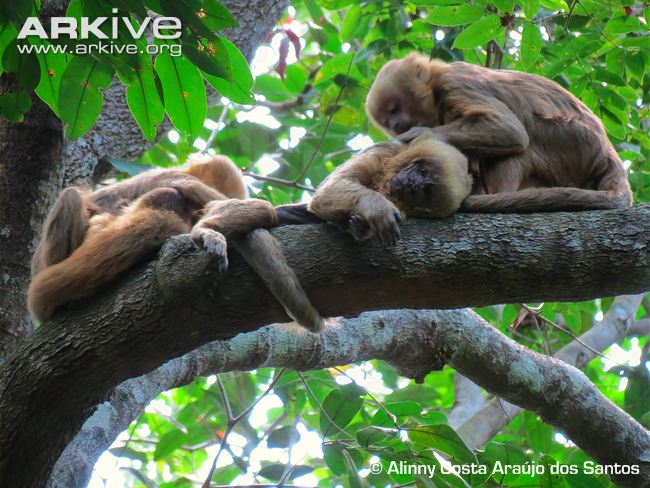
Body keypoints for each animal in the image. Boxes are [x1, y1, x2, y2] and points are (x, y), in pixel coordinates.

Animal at [309, 134, 472, 242]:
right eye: (423, 171)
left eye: (427, 192)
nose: (412, 183)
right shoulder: (382, 151)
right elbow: (329, 190)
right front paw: (378, 209)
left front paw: (359, 227)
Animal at [363, 52, 633, 214]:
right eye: (387, 121)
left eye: (394, 108)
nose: (396, 125)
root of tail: (610, 156)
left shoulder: (455, 82)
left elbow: (509, 130)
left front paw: (416, 135)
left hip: (575, 142)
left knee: (524, 138)